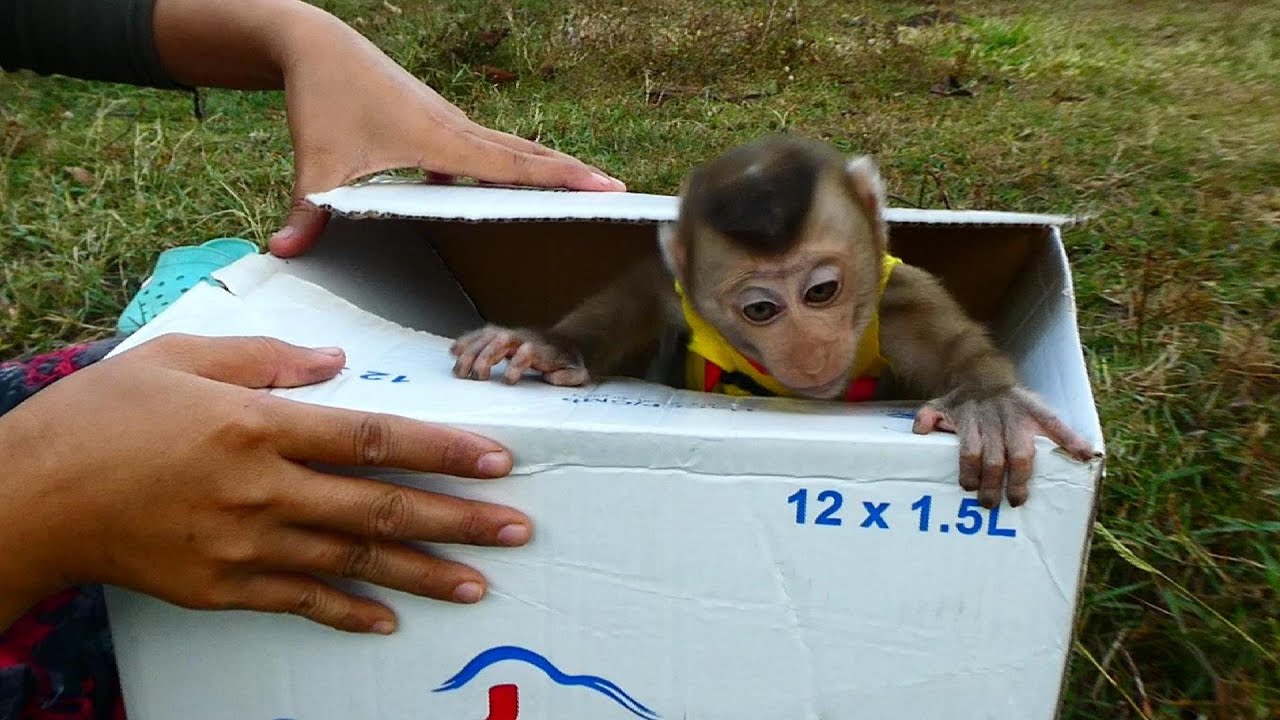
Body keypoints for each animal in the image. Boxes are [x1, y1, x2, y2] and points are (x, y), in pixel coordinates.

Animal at [448, 135, 1098, 509]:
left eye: (823, 292)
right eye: (761, 309)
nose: (810, 351)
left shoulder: (898, 303)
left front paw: (988, 404)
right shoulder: (685, 293)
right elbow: (640, 295)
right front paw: (555, 345)